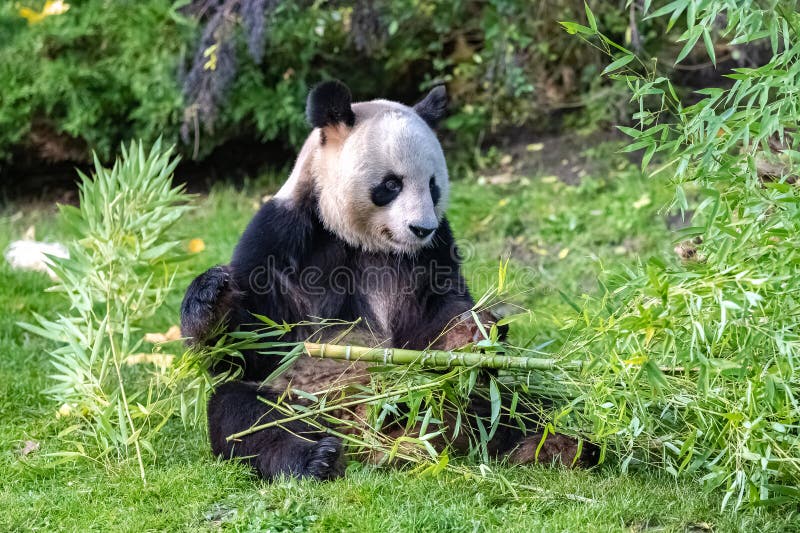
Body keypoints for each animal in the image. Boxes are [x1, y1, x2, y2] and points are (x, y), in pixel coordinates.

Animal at [180, 80, 596, 480]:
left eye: (433, 184)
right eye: (392, 184)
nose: (421, 228)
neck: (364, 239)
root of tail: (375, 439)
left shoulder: (434, 250)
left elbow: (436, 316)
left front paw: (476, 333)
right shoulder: (282, 235)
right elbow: (249, 344)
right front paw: (212, 295)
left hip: (480, 399)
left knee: (516, 403)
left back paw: (562, 445)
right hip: (295, 395)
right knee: (246, 414)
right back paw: (315, 459)